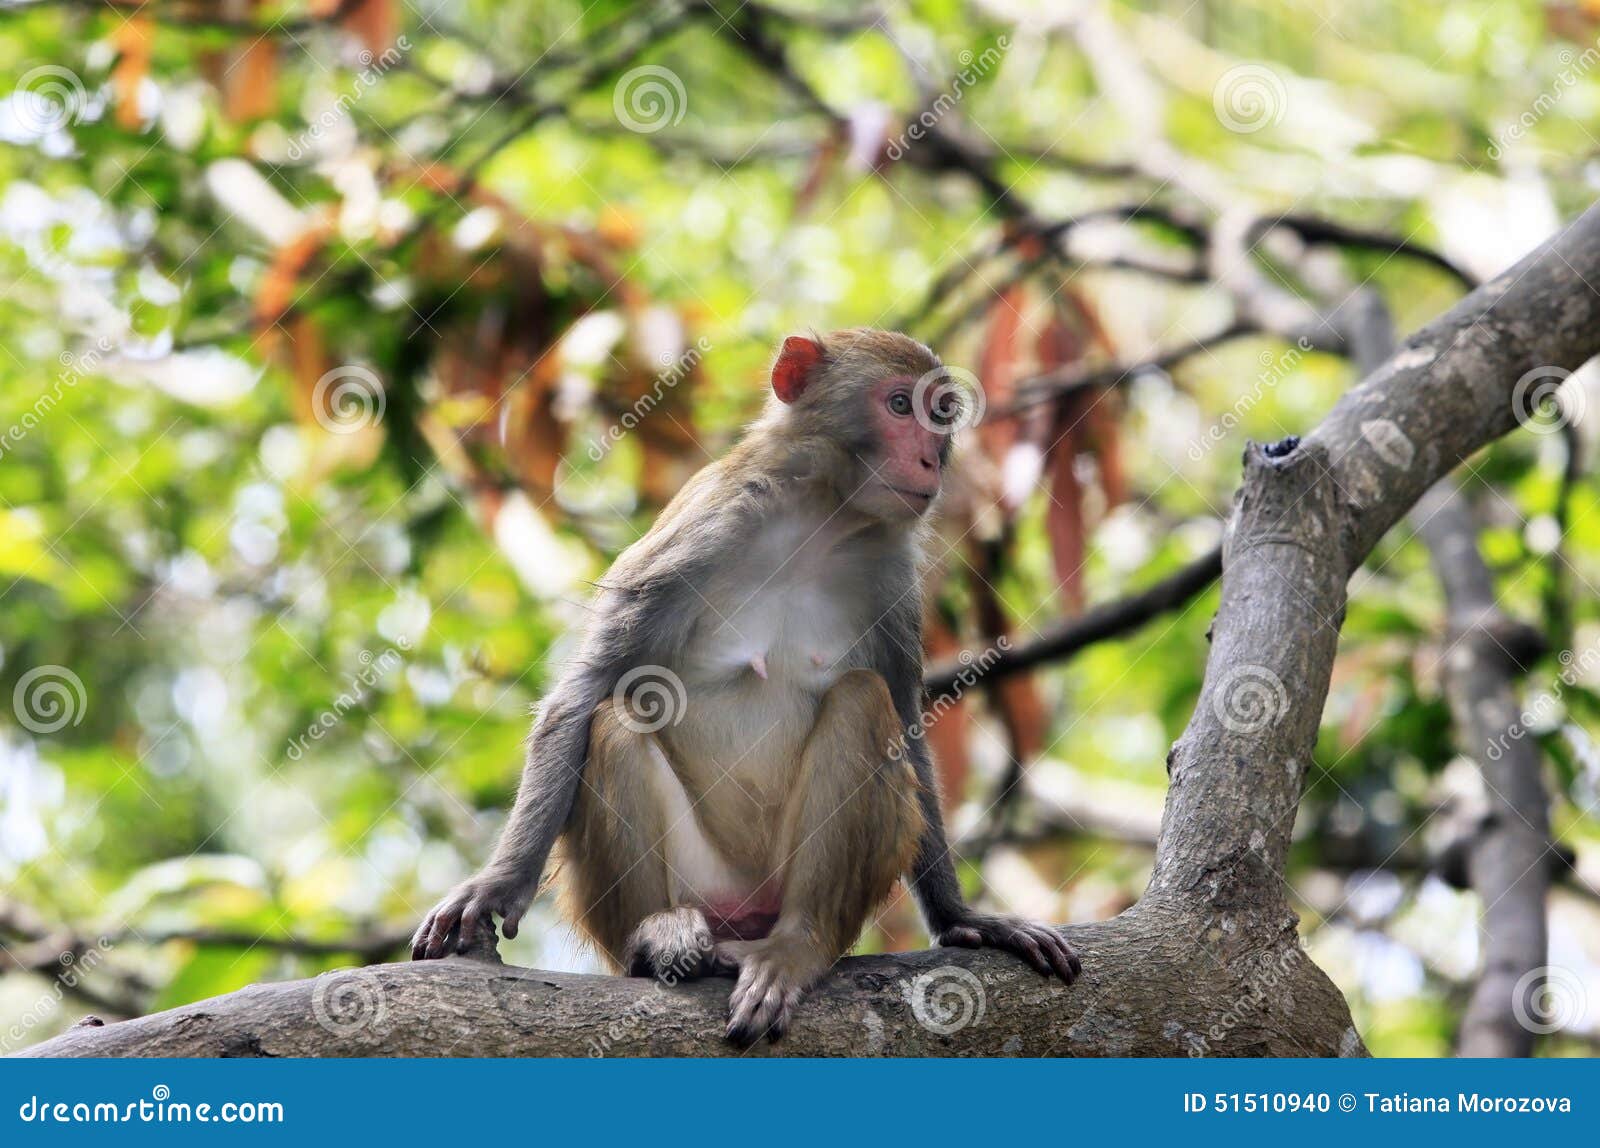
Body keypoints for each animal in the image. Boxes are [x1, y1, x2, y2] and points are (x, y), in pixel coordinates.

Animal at [413, 329, 1080, 1043]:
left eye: (942, 414)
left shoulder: (894, 576)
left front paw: (963, 918)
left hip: (779, 885)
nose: (931, 459)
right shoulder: (705, 528)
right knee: (616, 719)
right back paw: (658, 938)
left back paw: (795, 947)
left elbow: (905, 721)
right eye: (900, 405)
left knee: (861, 701)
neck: (822, 518)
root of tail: (742, 912)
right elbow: (585, 693)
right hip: (699, 882)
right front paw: (496, 886)